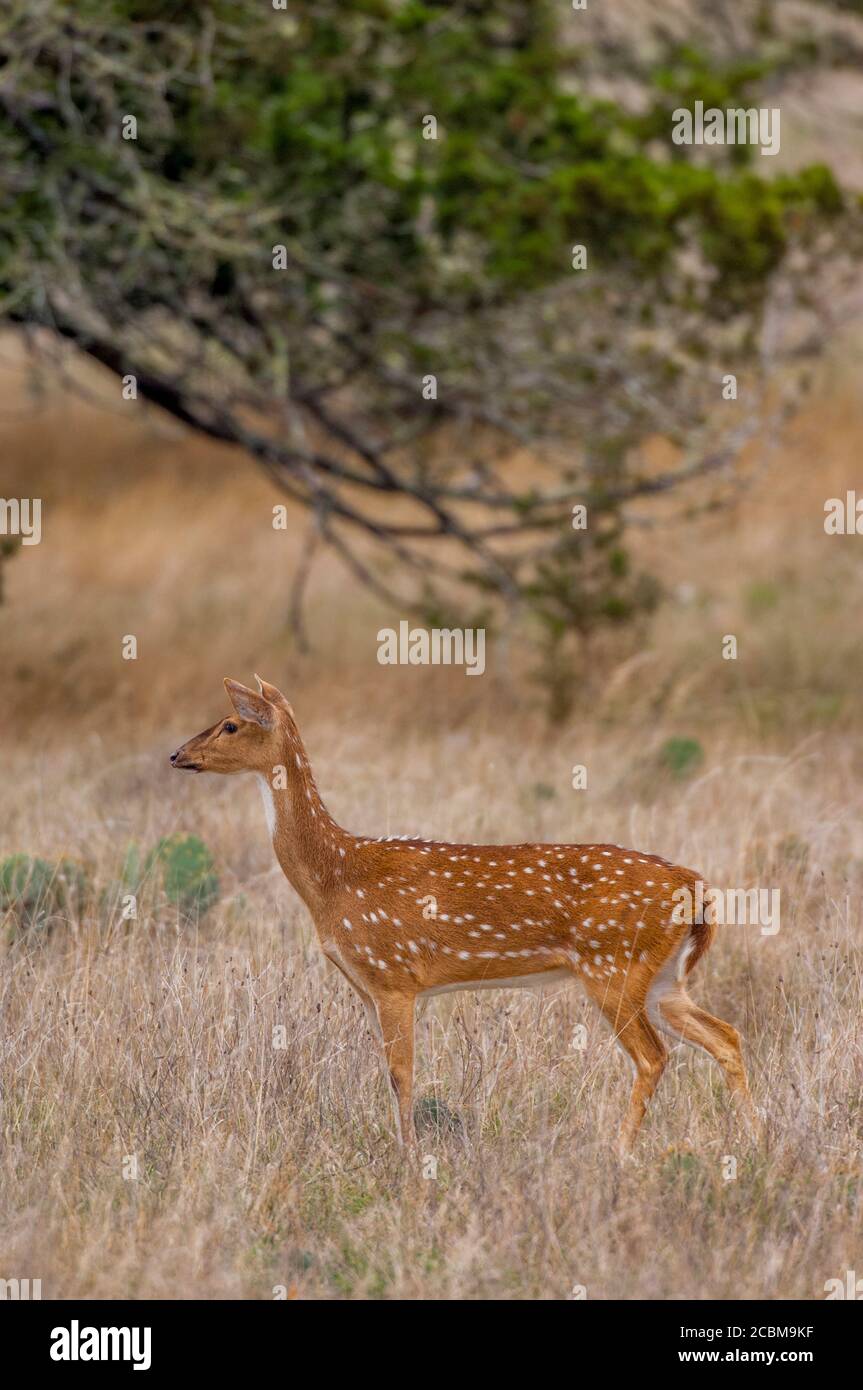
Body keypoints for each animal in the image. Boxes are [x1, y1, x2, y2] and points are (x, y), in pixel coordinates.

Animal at [170, 676, 757, 1153]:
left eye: (229, 724)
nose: (177, 755)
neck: (335, 878)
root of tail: (694, 885)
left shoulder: (393, 976)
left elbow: (401, 1074)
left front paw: (408, 1159)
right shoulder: (367, 987)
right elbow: (392, 1073)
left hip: (613, 964)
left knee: (654, 1056)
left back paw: (622, 1152)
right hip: (661, 976)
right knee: (726, 1036)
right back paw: (752, 1140)